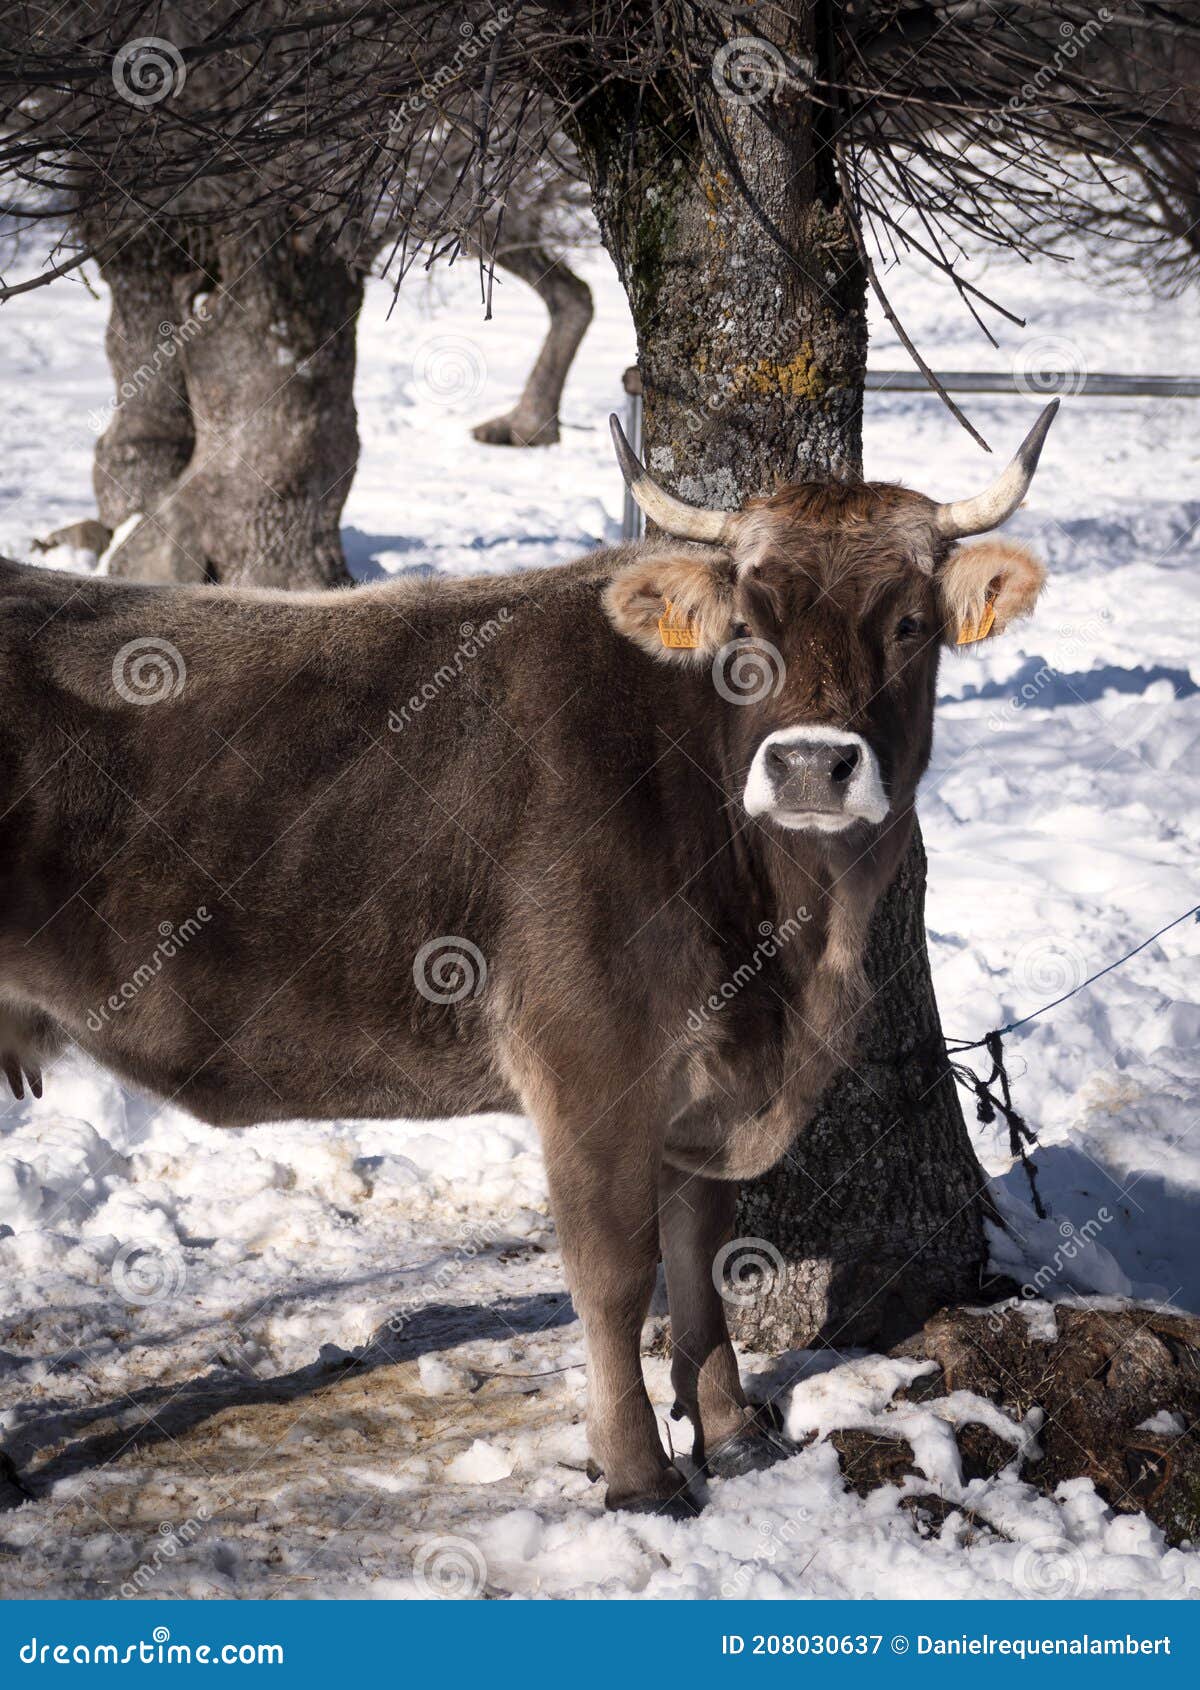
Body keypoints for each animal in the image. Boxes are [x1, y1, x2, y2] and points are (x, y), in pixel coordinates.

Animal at [0, 400, 1057, 1515]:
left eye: (910, 624)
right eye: (744, 630)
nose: (812, 765)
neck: (795, 947)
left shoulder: (706, 1088)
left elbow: (700, 1251)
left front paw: (729, 1432)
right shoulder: (589, 1064)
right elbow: (614, 1273)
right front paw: (639, 1474)